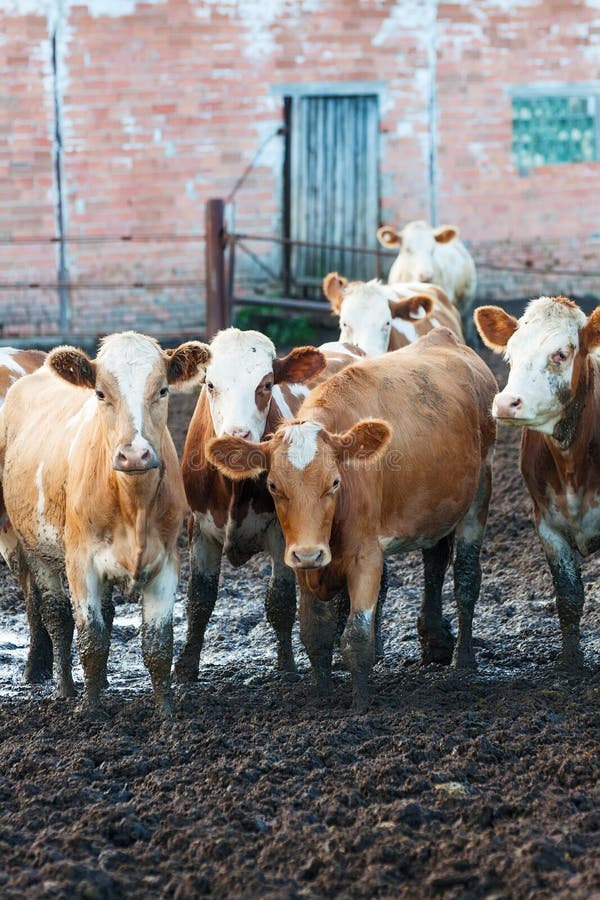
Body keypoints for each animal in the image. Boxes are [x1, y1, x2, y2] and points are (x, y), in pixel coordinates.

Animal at [0, 331, 210, 714]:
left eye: (162, 390)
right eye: (100, 393)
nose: (134, 455)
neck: (132, 505)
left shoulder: (168, 562)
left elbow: (158, 643)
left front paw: (167, 711)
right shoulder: (80, 563)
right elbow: (91, 638)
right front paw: (90, 709)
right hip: (35, 549)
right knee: (55, 614)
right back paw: (65, 688)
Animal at [173, 327, 366, 684]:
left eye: (265, 384)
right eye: (210, 384)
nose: (238, 435)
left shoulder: (281, 530)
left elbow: (279, 601)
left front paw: (287, 665)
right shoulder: (199, 527)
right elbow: (199, 599)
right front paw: (186, 667)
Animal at [207, 328, 497, 710]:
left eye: (334, 482)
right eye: (273, 485)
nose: (310, 552)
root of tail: (444, 337)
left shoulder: (366, 556)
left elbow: (356, 636)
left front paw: (360, 705)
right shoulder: (301, 557)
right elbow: (314, 631)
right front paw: (322, 693)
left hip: (479, 495)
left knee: (466, 578)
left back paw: (463, 661)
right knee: (434, 561)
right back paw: (435, 642)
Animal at [475, 295, 600, 672]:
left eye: (560, 353)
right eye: (511, 354)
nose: (506, 403)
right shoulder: (547, 523)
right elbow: (569, 594)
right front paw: (572, 662)